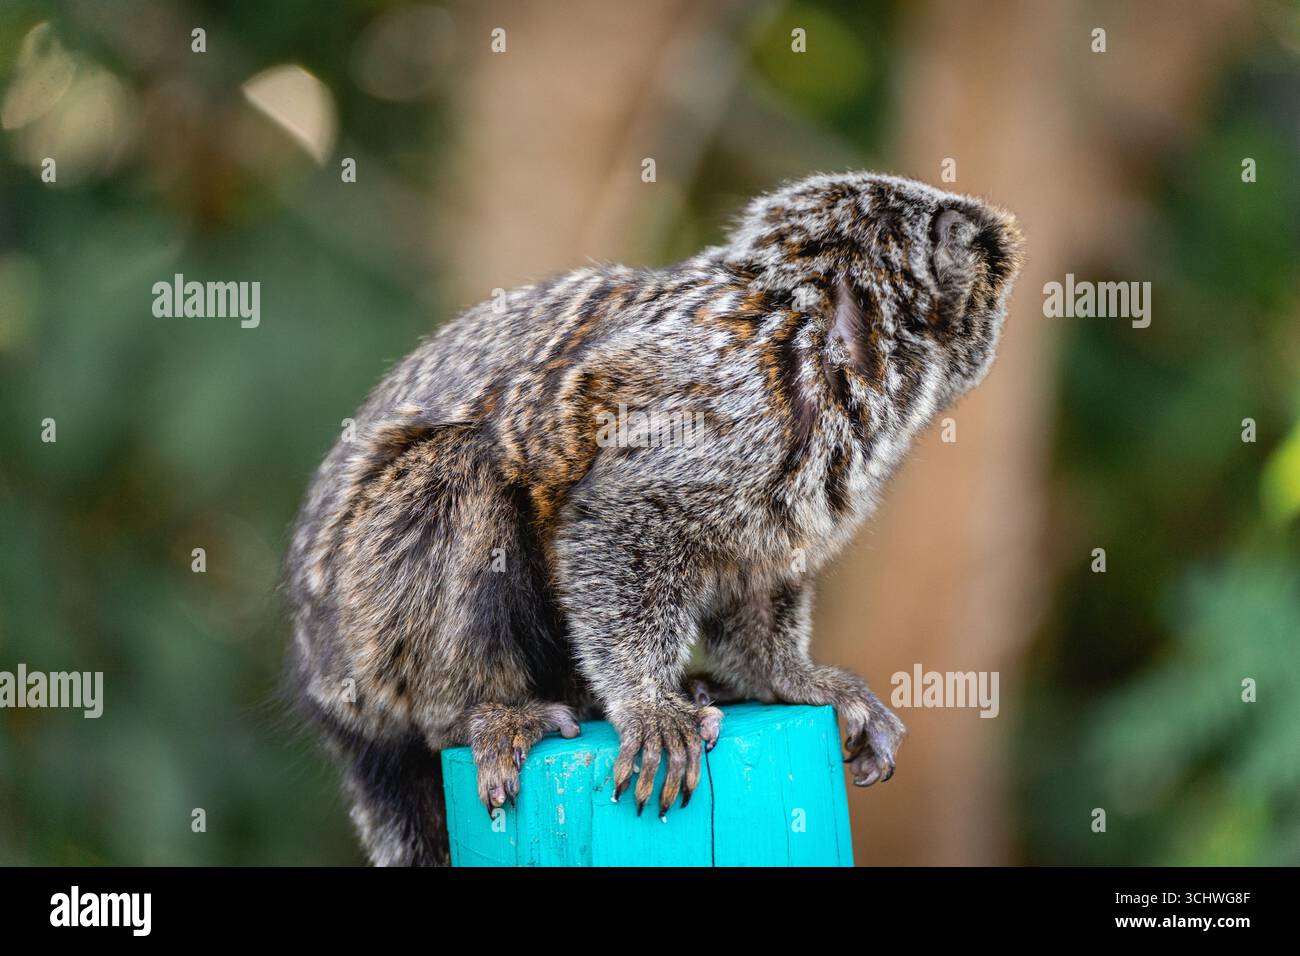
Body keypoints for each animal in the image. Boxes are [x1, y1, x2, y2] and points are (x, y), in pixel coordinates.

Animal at [282, 171, 1024, 866]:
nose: (997, 310)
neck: (834, 332)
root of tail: (322, 679)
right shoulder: (737, 399)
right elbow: (612, 516)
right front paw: (648, 703)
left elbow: (760, 576)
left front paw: (788, 678)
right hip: (367, 652)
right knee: (461, 467)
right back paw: (482, 712)